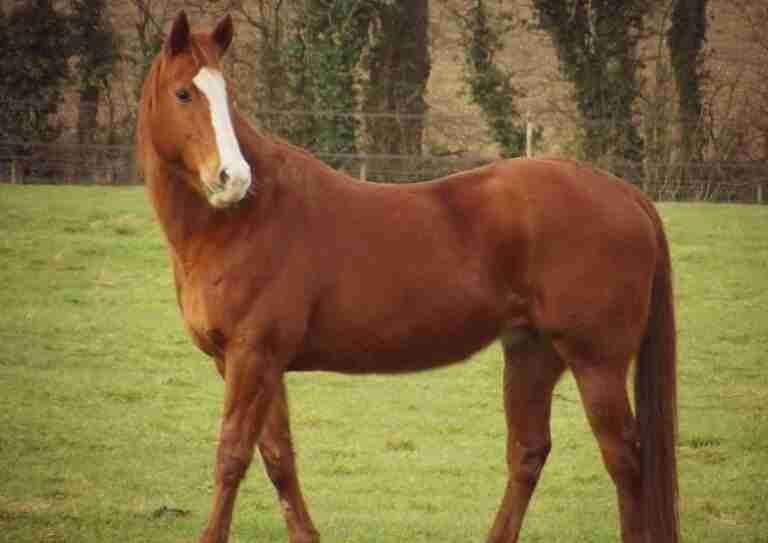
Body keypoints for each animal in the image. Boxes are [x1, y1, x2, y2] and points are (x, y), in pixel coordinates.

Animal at [137, 12, 679, 543]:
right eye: (184, 93)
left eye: (226, 96)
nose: (233, 178)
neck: (248, 218)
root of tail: (626, 193)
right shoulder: (252, 362)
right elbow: (277, 458)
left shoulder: (253, 354)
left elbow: (232, 456)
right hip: (533, 351)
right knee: (529, 453)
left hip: (596, 362)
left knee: (625, 461)